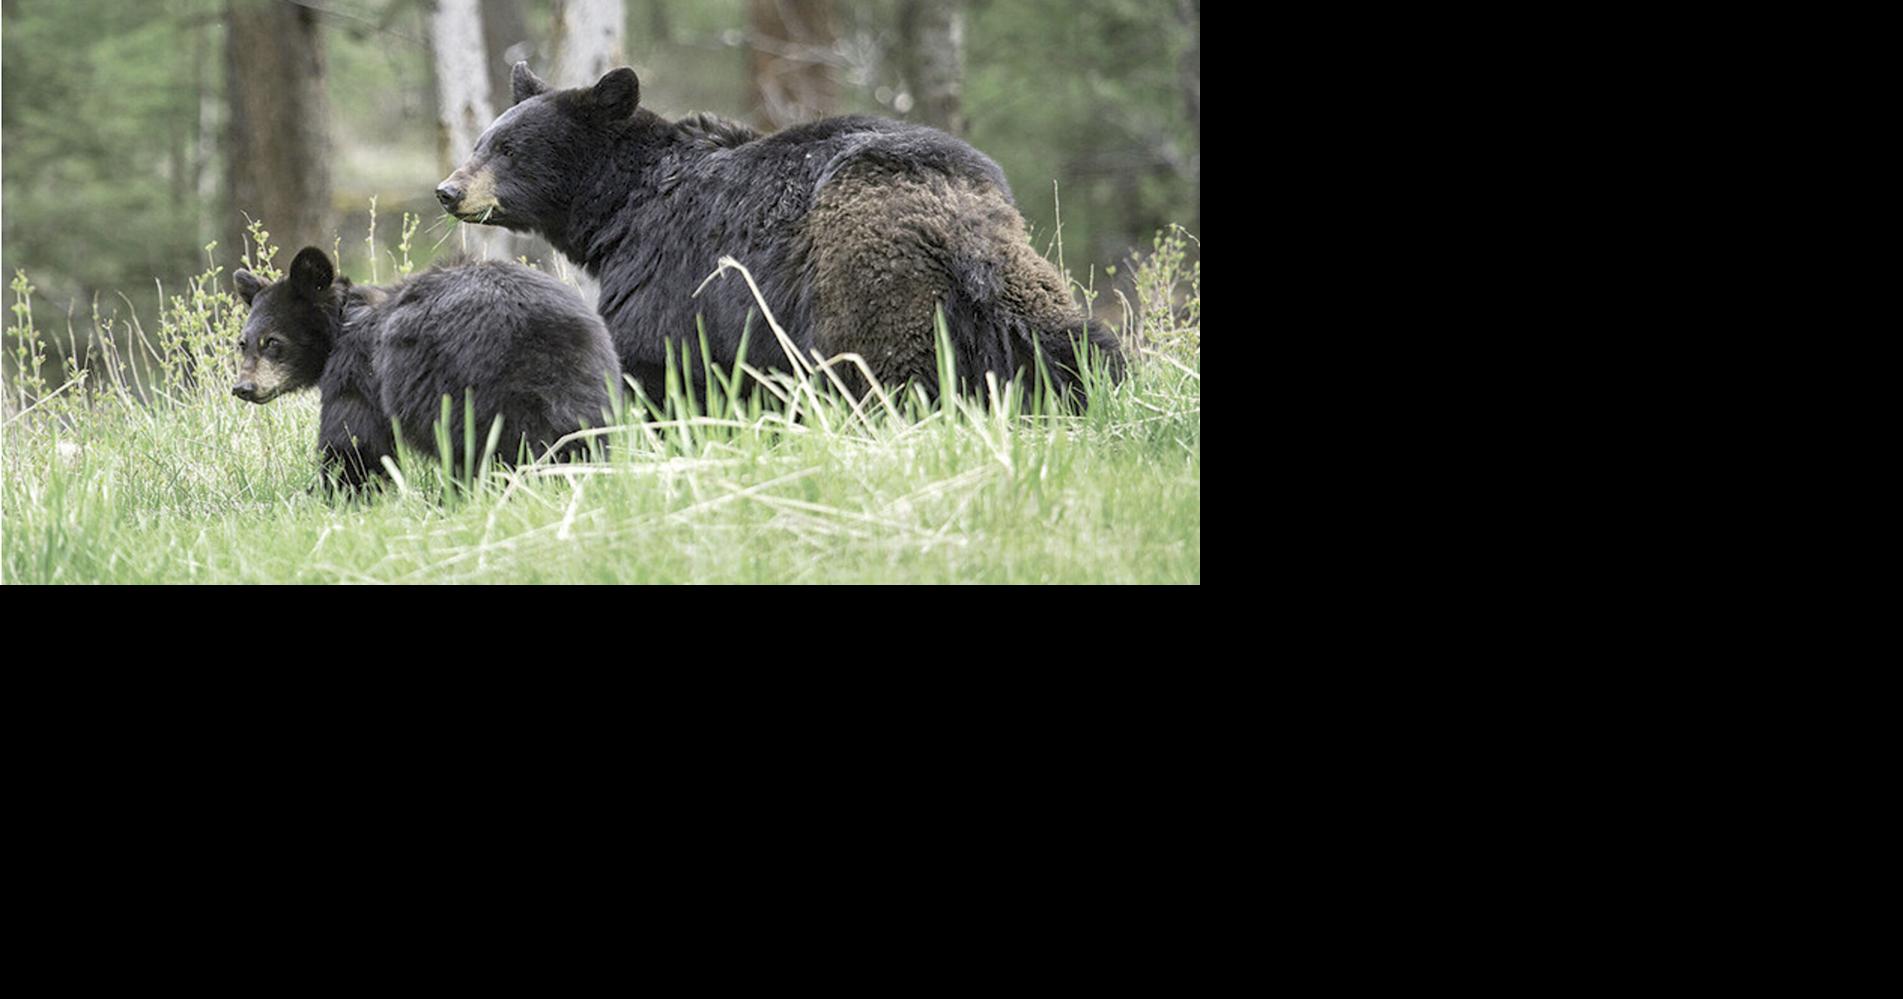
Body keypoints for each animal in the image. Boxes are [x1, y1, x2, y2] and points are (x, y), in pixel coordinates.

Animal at [231, 246, 621, 491]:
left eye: (272, 341)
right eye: (243, 342)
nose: (243, 387)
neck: (344, 321)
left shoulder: (359, 370)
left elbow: (355, 442)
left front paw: (337, 493)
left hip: (467, 389)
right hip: (589, 384)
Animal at [434, 62, 1124, 407]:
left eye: (509, 149)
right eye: (481, 141)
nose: (448, 191)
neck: (622, 206)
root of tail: (952, 216)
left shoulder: (669, 270)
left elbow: (655, 359)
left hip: (865, 286)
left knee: (884, 375)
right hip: (1016, 278)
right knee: (1070, 342)